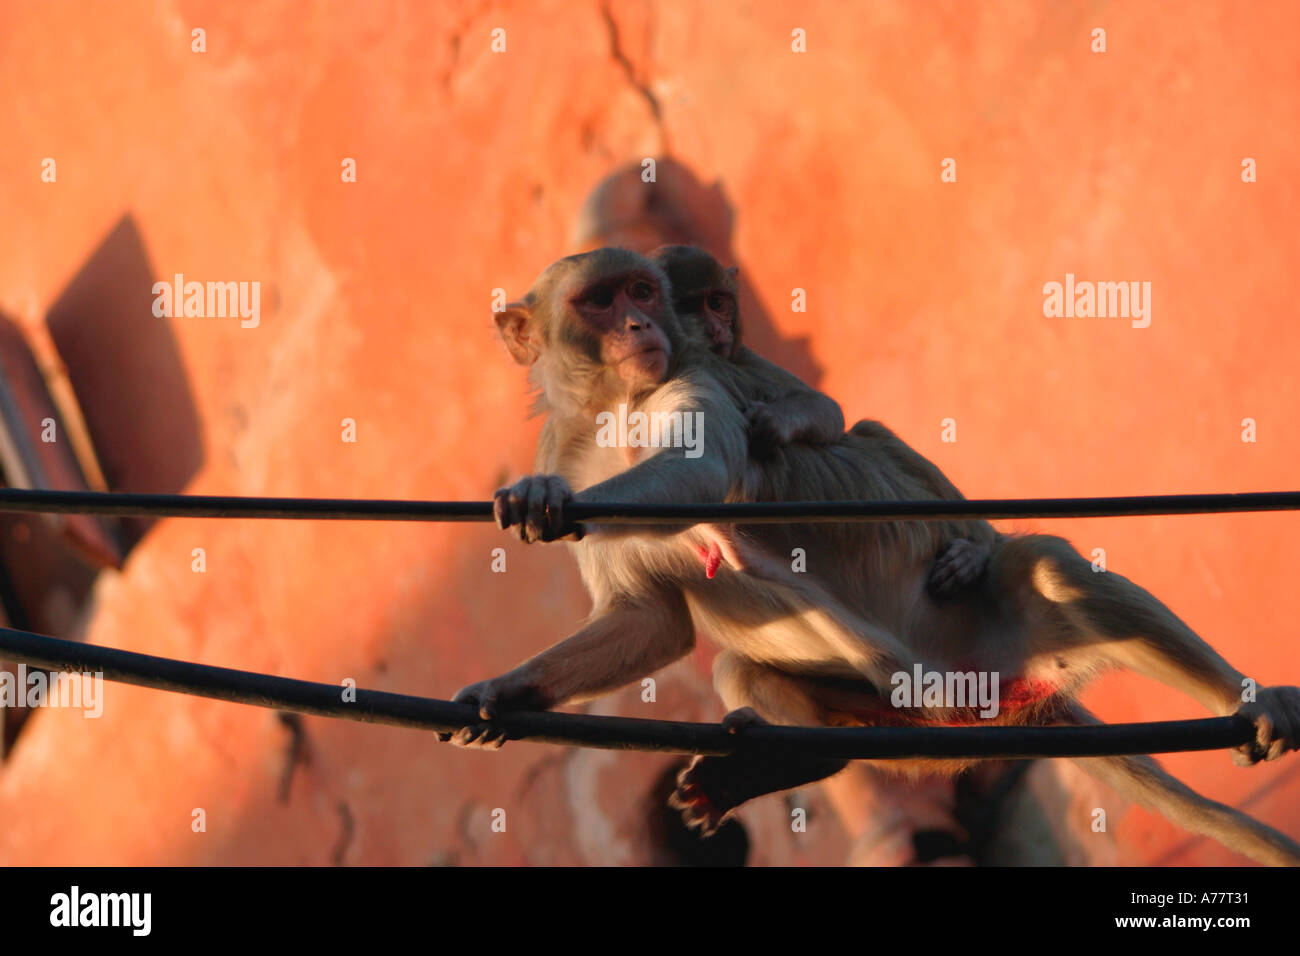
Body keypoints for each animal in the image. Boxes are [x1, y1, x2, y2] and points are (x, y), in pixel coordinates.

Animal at [449, 247, 1300, 866]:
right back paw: (797, 762)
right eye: (599, 301)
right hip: (900, 715)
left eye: (639, 291)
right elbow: (650, 621)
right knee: (744, 669)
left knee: (1052, 573)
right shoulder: (576, 439)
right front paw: (507, 692)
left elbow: (705, 472)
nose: (637, 327)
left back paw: (1249, 699)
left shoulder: (692, 381)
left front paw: (545, 500)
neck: (616, 413)